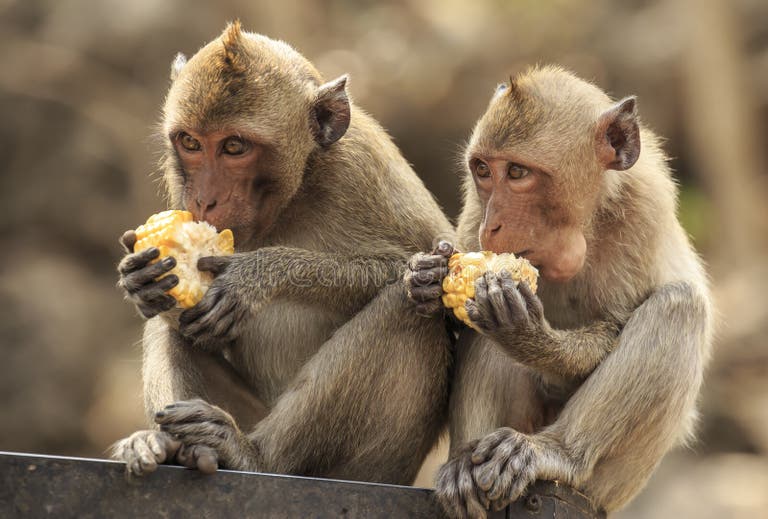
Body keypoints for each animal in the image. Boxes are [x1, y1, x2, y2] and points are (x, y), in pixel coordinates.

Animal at [111, 21, 455, 485]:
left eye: (234, 147)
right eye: (190, 143)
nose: (204, 200)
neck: (297, 190)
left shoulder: (363, 170)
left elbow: (431, 266)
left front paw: (257, 275)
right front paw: (140, 281)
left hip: (371, 466)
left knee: (410, 307)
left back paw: (251, 455)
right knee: (168, 327)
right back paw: (171, 447)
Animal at [406, 66, 713, 518]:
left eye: (517, 173)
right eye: (483, 170)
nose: (492, 226)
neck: (581, 224)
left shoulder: (644, 211)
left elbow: (611, 329)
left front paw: (527, 336)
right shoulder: (474, 207)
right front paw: (426, 277)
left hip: (613, 483)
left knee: (679, 308)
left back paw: (555, 452)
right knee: (483, 332)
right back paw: (464, 464)